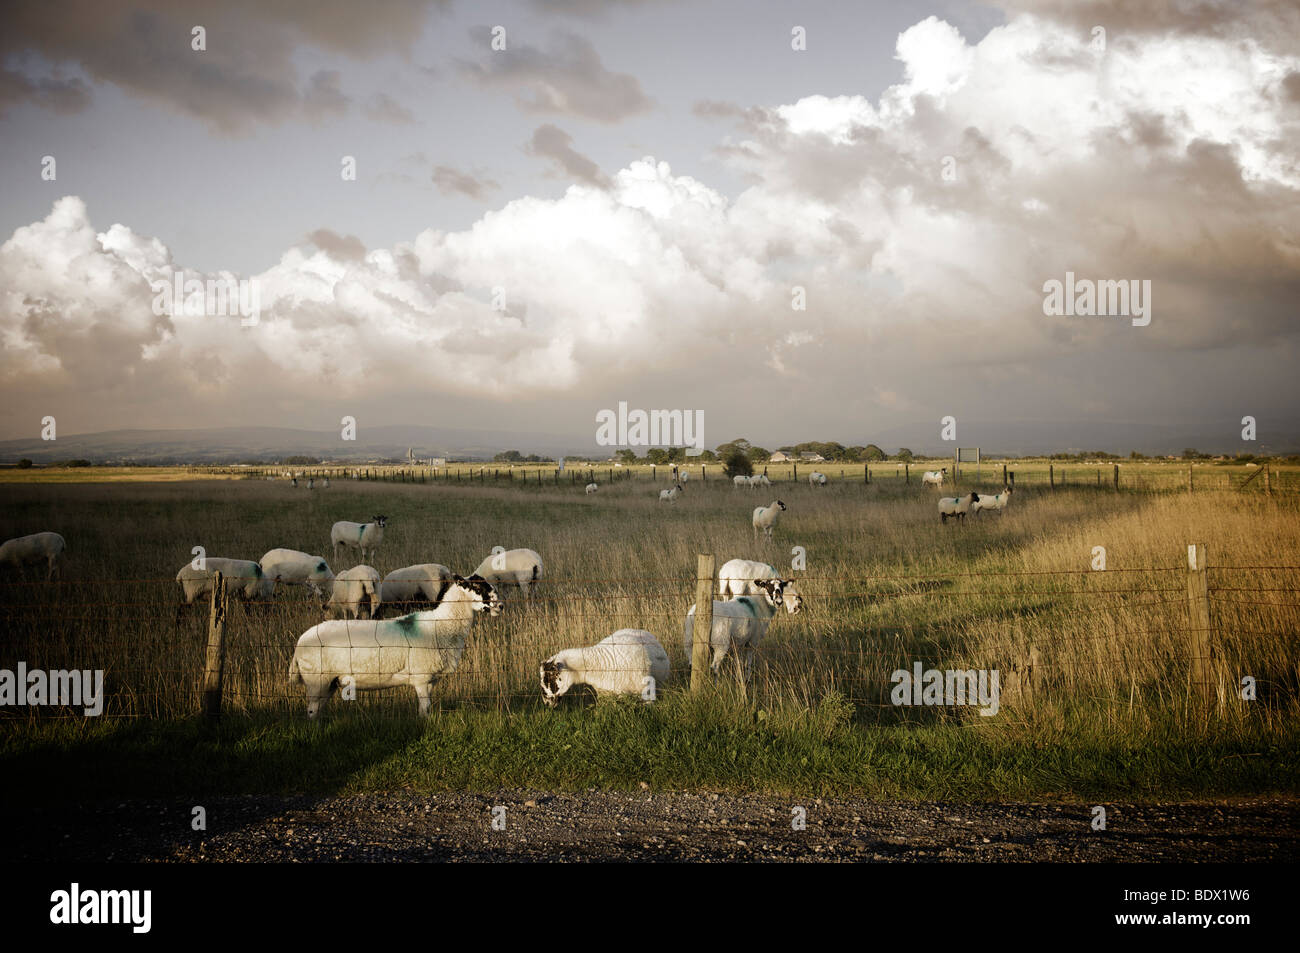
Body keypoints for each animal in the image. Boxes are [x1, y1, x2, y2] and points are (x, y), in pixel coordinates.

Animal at [288, 574, 503, 718]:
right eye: (477, 588)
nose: (500, 606)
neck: (441, 625)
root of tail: (300, 643)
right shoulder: (421, 678)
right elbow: (425, 709)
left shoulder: (430, 680)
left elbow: (426, 709)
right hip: (316, 679)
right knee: (312, 711)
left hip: (329, 682)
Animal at [540, 629, 670, 707]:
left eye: (549, 678)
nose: (546, 703)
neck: (599, 663)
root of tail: (640, 630)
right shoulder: (605, 695)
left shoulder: (645, 693)